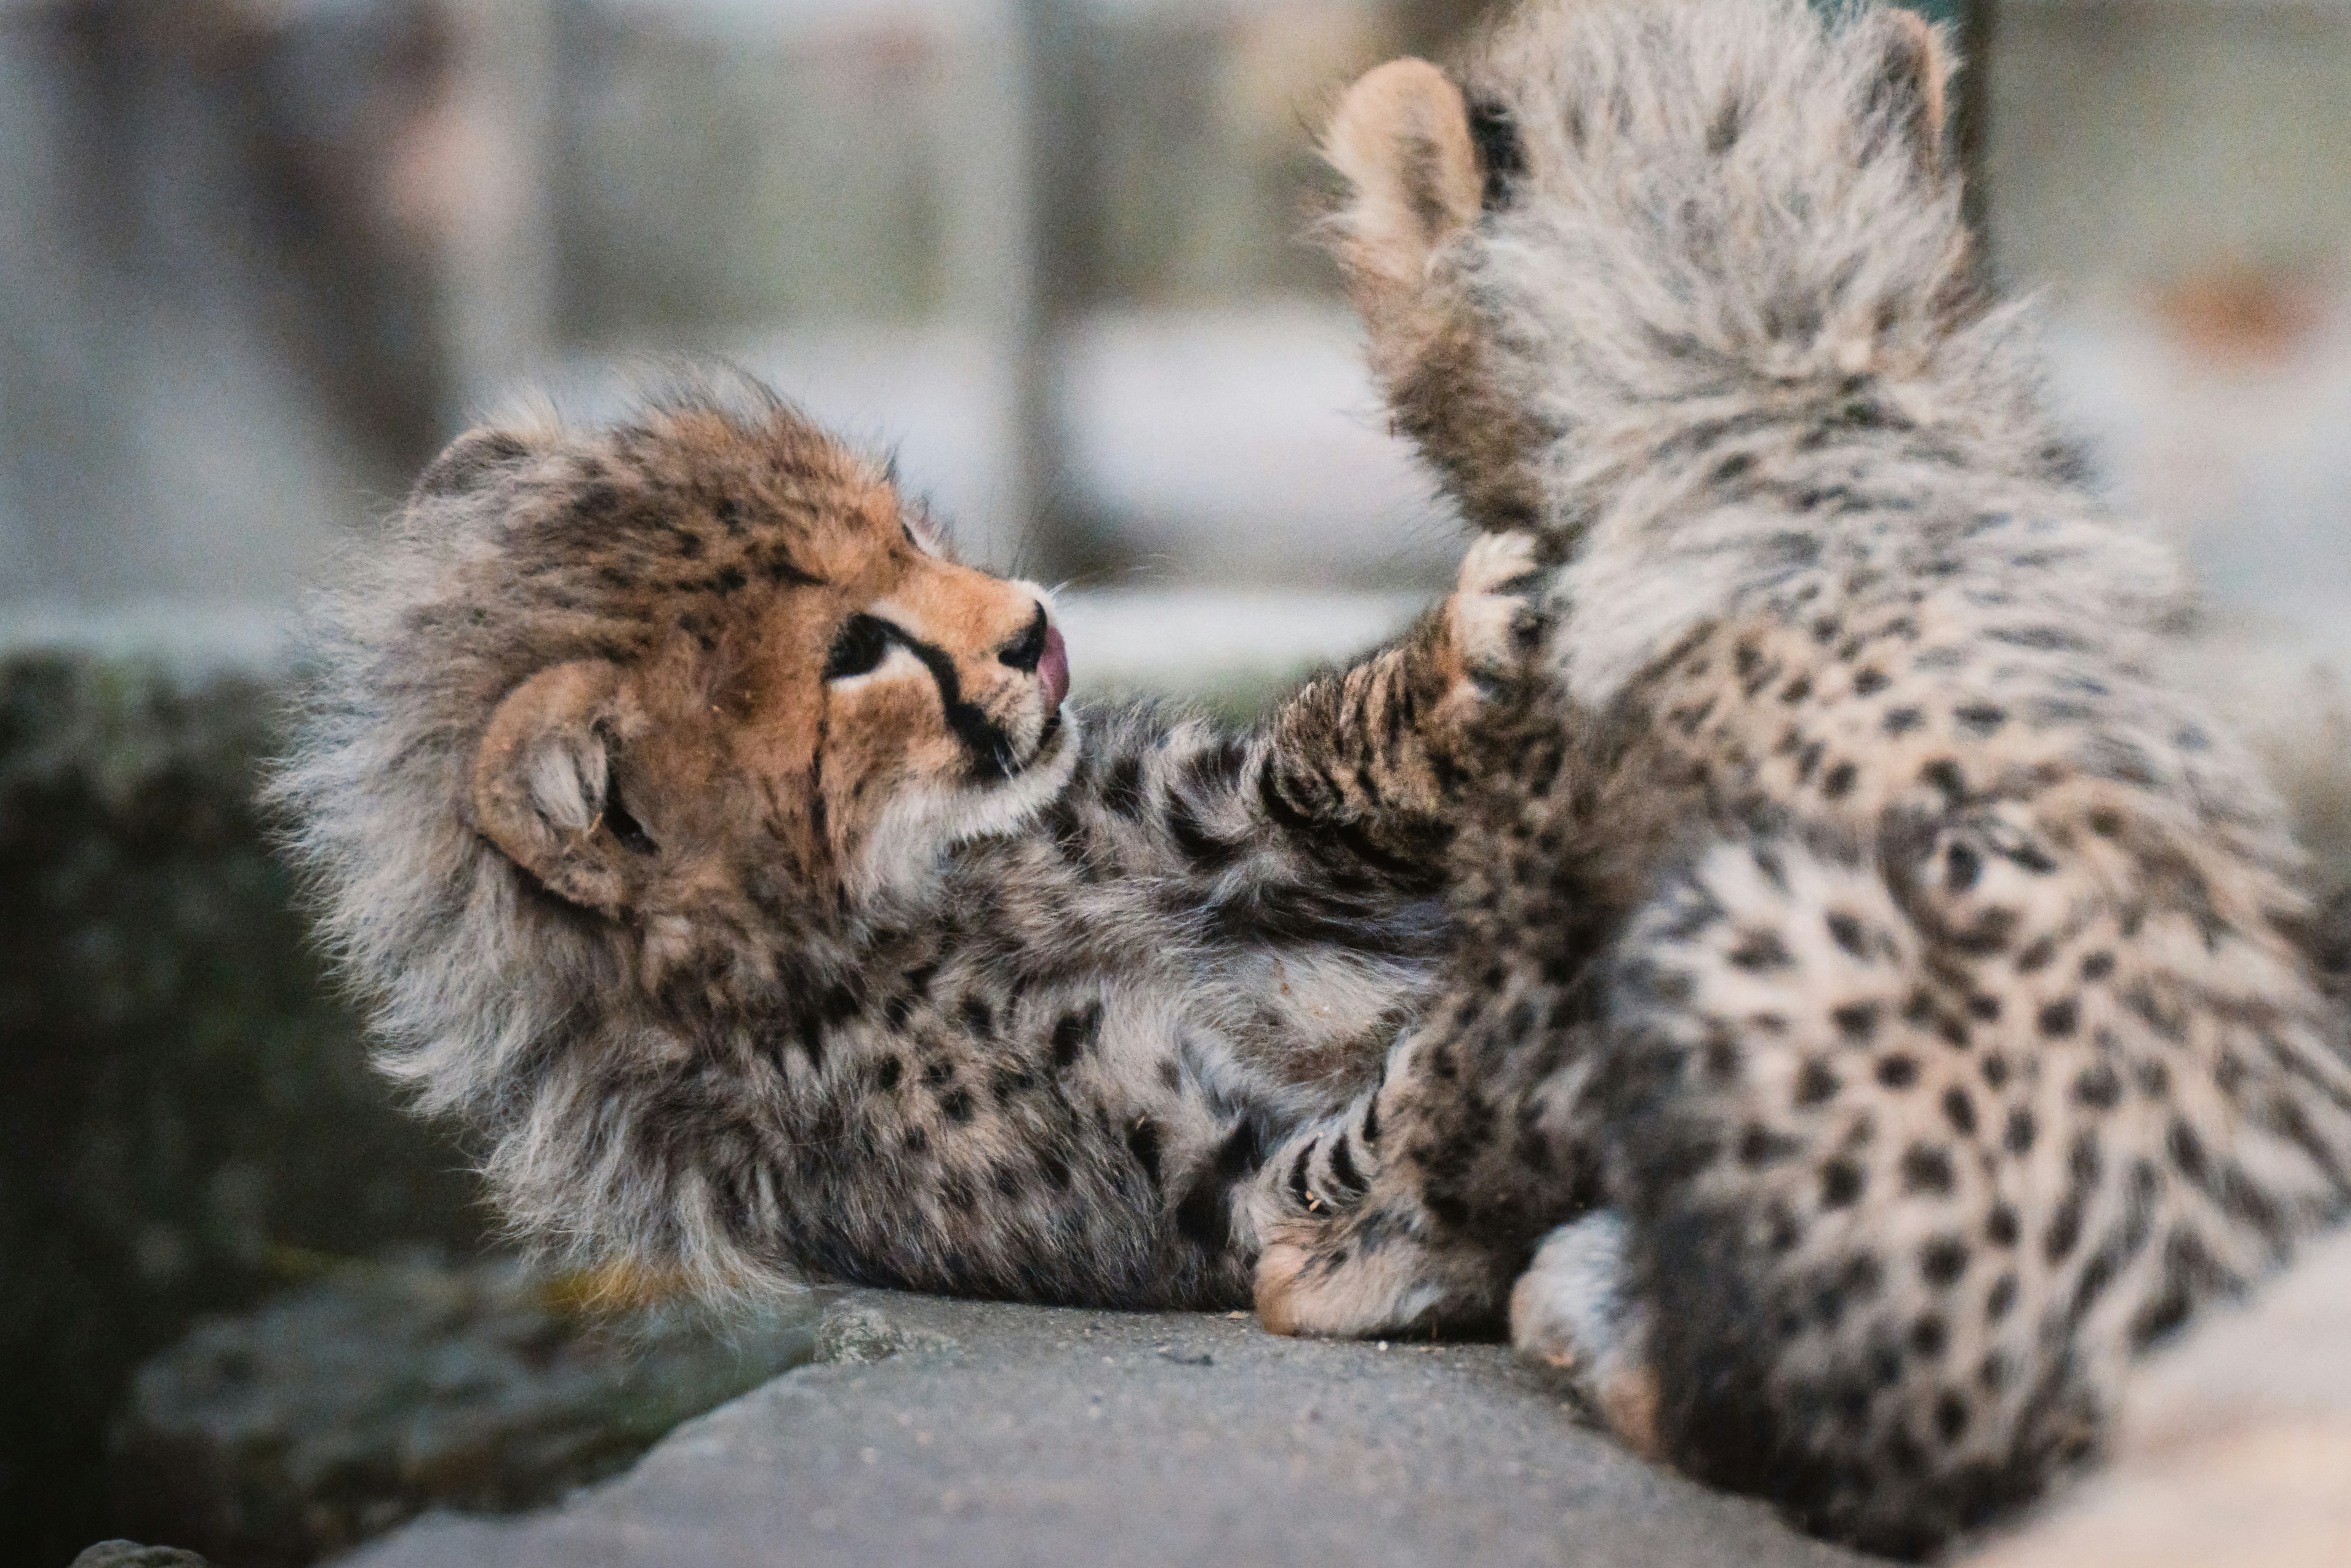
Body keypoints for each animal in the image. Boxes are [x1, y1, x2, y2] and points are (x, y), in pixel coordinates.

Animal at [272, 373, 1548, 1315]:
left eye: (903, 529)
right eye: (854, 654)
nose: (1036, 635)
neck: (898, 902)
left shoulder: (1200, 825)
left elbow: (1302, 768)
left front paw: (1466, 644)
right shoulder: (1206, 1188)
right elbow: (1352, 1152)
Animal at [1244, 0, 2351, 1555]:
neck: (1782, 370)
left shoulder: (1538, 960)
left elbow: (1442, 1110)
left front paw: (1334, 1246)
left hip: (1758, 930)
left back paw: (1595, 1309)